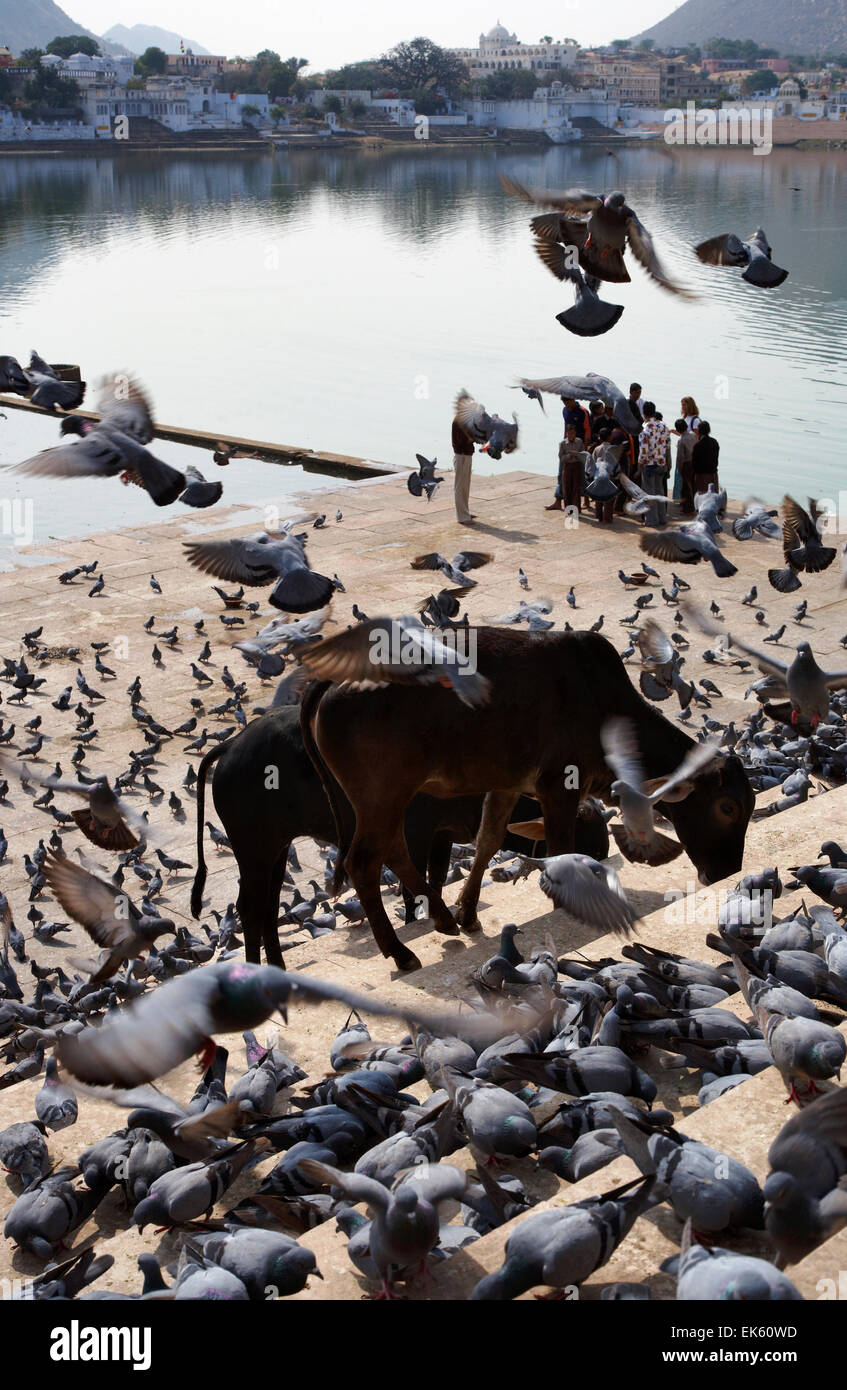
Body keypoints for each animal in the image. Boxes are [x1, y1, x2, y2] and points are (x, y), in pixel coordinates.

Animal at [190, 704, 610, 967]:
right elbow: (412, 887)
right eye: (582, 827)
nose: (604, 857)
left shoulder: (442, 835)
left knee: (267, 907)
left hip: (276, 851)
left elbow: (436, 878)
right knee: (250, 908)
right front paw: (429, 921)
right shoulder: (416, 832)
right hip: (255, 850)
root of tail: (233, 744)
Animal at [300, 627, 755, 972]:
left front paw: (467, 912)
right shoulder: (560, 786)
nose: (727, 871)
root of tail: (334, 679)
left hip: (386, 799)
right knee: (364, 862)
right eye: (727, 807)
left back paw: (444, 919)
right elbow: (560, 846)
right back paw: (400, 952)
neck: (601, 698)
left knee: (393, 851)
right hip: (381, 796)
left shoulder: (506, 783)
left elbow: (488, 840)